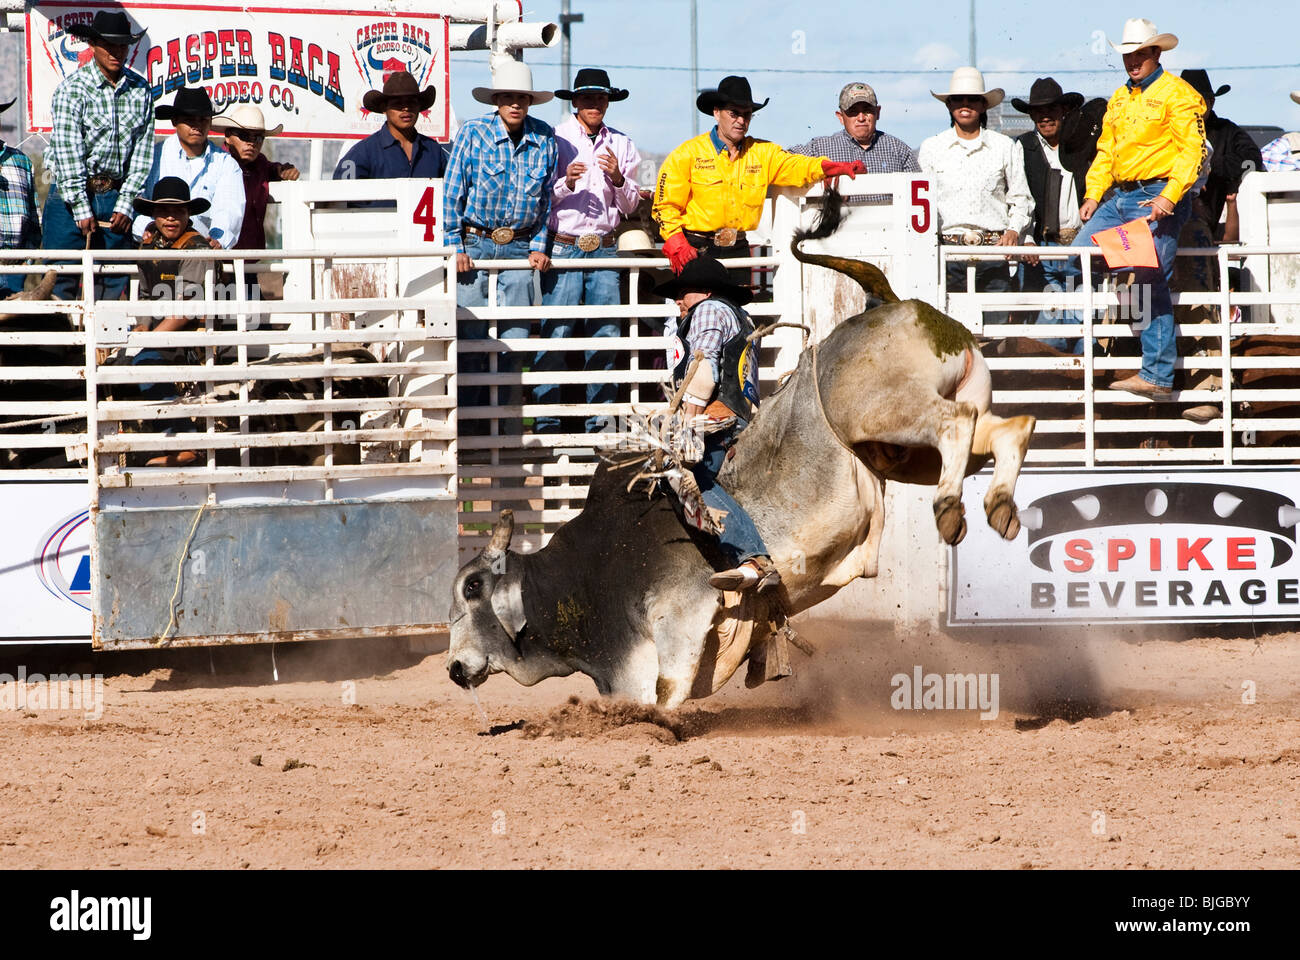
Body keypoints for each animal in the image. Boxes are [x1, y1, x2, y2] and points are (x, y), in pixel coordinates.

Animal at [446, 189, 1037, 707]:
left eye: (472, 588)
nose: (452, 668)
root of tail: (890, 306)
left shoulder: (678, 620)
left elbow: (664, 694)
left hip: (885, 414)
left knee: (958, 425)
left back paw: (950, 511)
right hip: (904, 445)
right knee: (1006, 429)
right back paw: (996, 508)